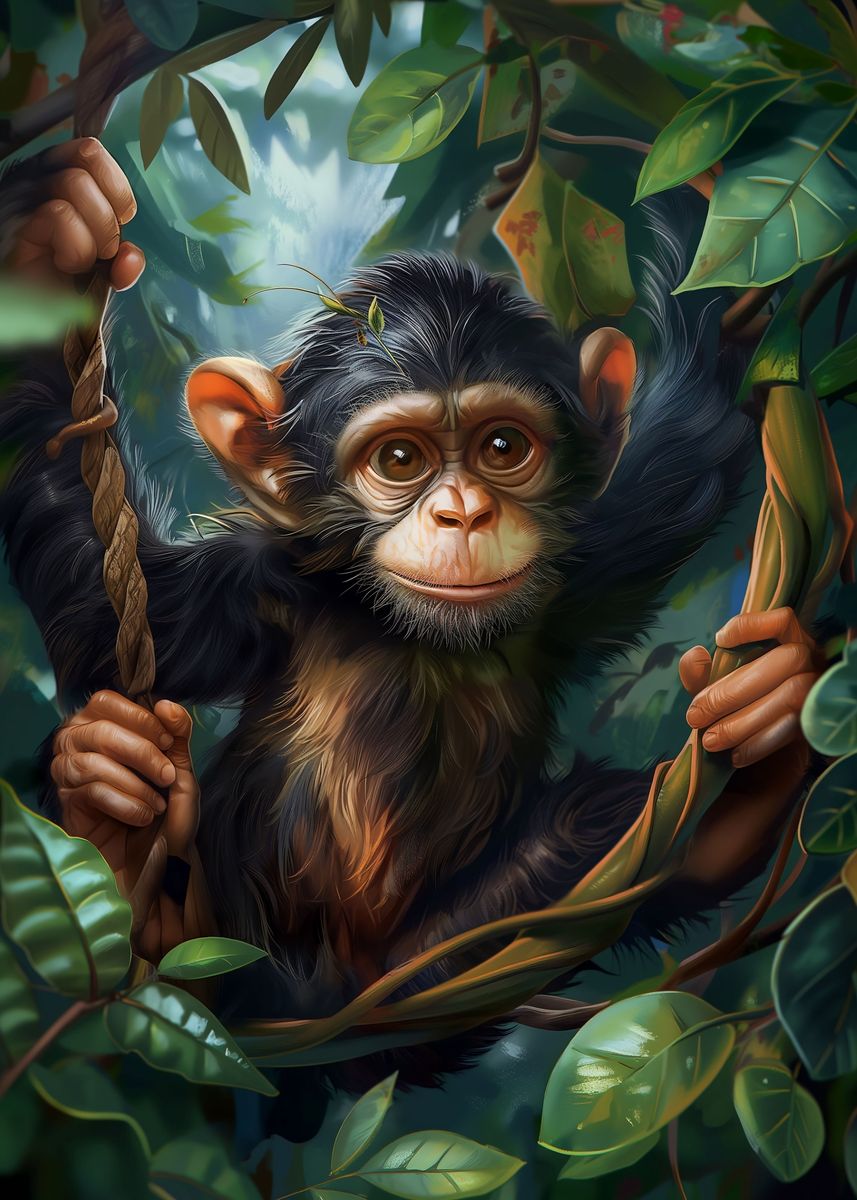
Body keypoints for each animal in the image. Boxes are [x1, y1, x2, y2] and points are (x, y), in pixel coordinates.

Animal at [0, 140, 823, 1099]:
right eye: (399, 459)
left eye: (503, 447)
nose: (462, 513)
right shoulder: (261, 588)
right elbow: (112, 622)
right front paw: (48, 248)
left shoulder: (584, 561)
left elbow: (686, 457)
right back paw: (118, 838)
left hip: (428, 979)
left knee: (576, 844)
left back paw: (746, 781)